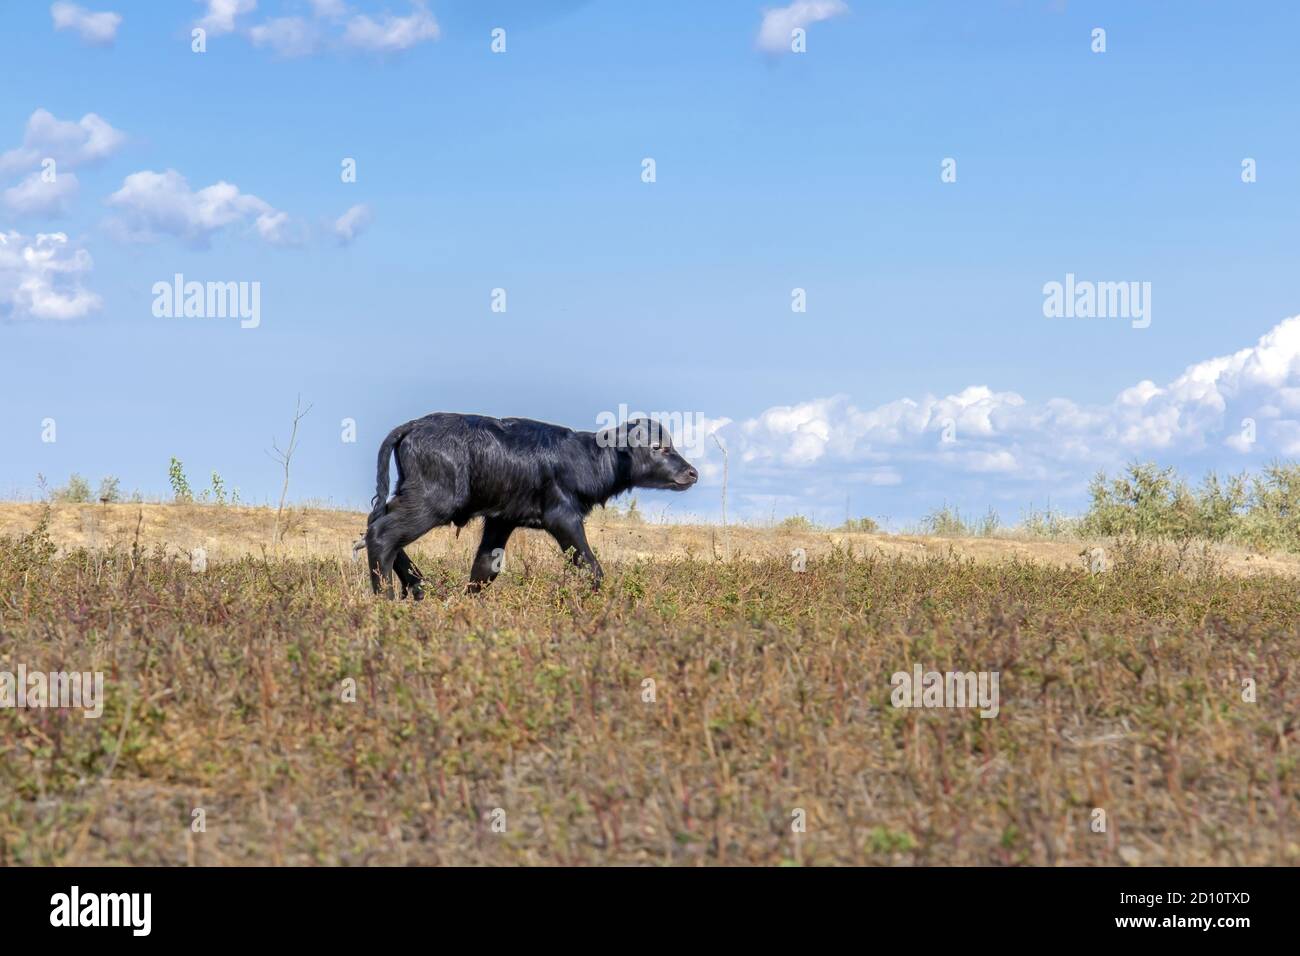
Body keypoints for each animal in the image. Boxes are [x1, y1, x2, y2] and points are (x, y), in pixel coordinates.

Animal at [364, 413, 698, 598]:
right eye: (659, 447)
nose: (692, 472)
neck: (587, 458)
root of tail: (413, 426)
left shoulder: (501, 521)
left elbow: (484, 570)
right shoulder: (563, 518)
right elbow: (592, 568)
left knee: (374, 525)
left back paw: (417, 586)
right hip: (434, 501)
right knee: (382, 535)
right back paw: (388, 598)